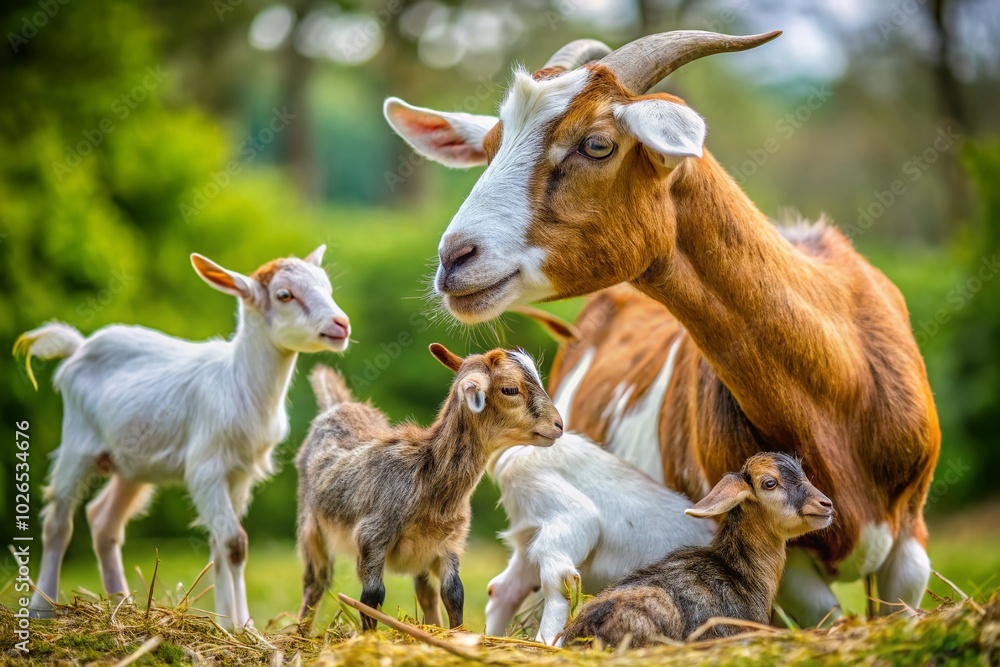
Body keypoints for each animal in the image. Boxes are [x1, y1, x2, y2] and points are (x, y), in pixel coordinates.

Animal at [14, 246, 349, 630]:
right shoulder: (205, 468)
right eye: (284, 295)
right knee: (58, 521)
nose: (341, 325)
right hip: (77, 441)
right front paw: (240, 625)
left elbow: (223, 546)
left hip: (132, 466)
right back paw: (42, 609)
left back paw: (123, 605)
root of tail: (78, 346)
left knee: (103, 522)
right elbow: (235, 542)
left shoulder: (240, 474)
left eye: (327, 287)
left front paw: (235, 625)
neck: (237, 383)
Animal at [295, 344, 563, 633]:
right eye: (510, 389)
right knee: (315, 582)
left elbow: (453, 593)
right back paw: (302, 633)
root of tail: (337, 405)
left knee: (425, 593)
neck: (424, 474)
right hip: (311, 526)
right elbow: (371, 597)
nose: (558, 425)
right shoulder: (372, 538)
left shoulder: (449, 544)